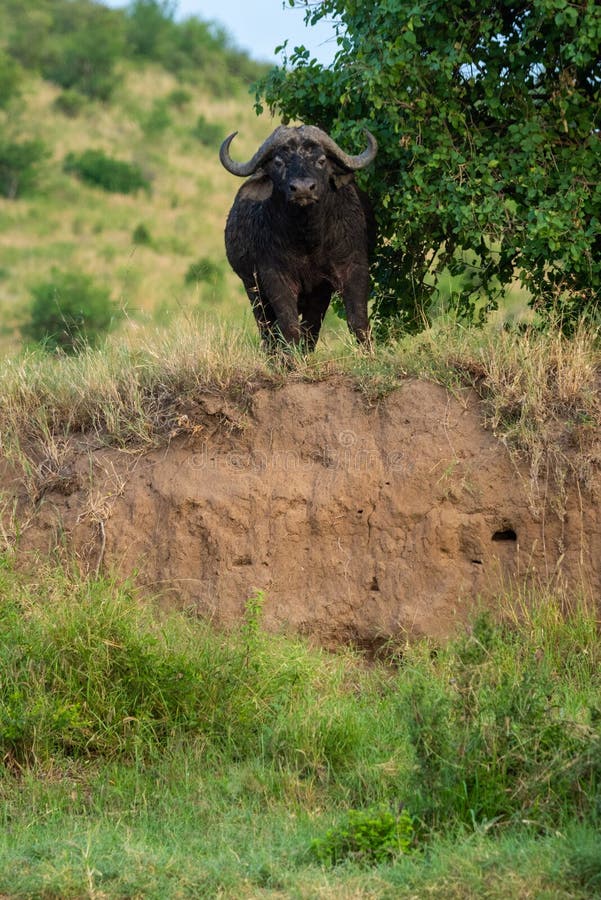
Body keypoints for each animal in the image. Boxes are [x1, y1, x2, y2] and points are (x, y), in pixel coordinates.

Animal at [219, 124, 377, 351]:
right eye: (278, 162)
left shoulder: (351, 268)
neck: (308, 239)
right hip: (253, 289)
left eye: (321, 160)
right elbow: (289, 327)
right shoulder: (275, 277)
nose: (302, 189)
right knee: (267, 330)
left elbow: (358, 322)